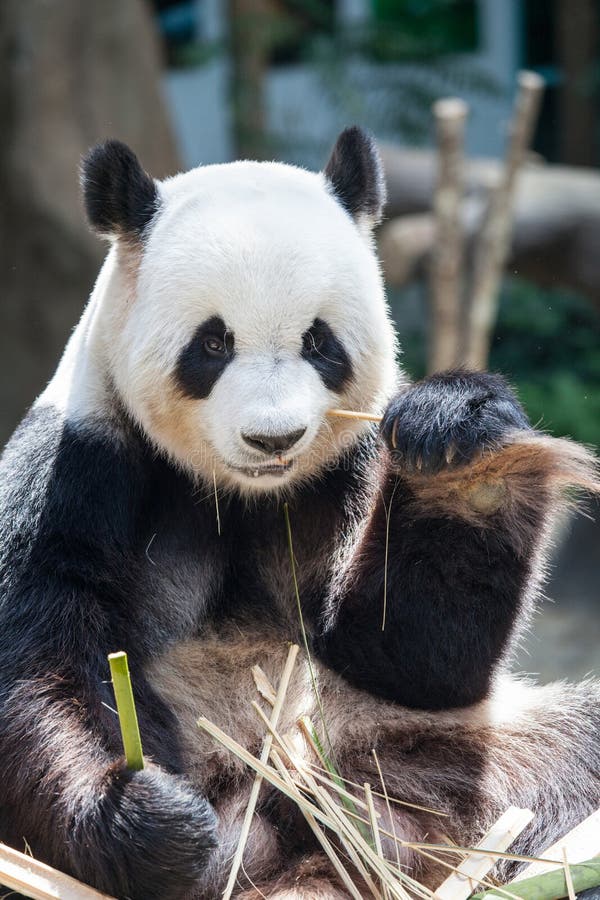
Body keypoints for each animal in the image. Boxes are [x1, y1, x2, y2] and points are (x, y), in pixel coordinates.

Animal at [1, 126, 599, 900]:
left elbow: (411, 656)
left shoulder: (349, 468)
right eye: (213, 342)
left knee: (564, 749)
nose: (274, 438)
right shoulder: (79, 468)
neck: (242, 493)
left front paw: (461, 450)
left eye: (319, 341)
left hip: (426, 750)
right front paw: (146, 817)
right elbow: (43, 668)